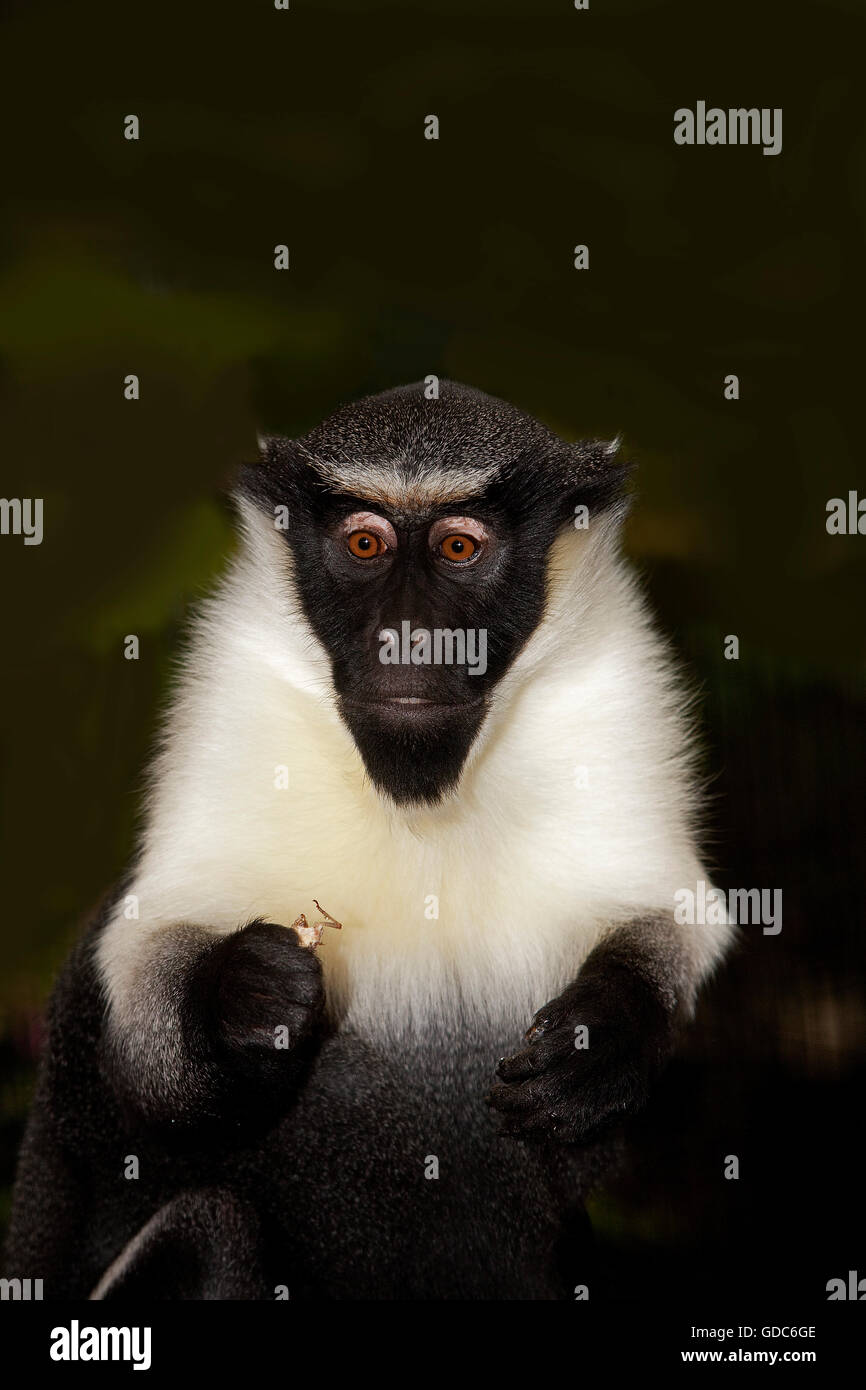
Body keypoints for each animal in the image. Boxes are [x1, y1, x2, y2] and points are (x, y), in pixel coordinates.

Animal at [5, 380, 732, 1300]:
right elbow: (146, 1029)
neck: (419, 809)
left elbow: (673, 919)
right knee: (213, 1225)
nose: (409, 634)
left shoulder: (614, 695)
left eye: (459, 546)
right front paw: (241, 1000)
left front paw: (610, 1026)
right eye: (363, 543)